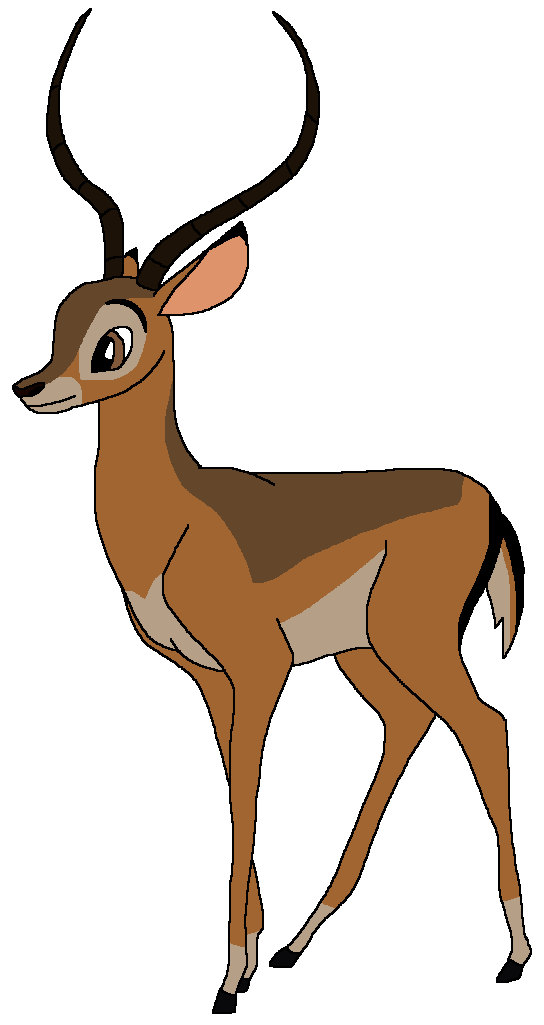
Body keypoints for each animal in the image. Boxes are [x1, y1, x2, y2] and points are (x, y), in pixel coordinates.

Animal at [15, 16, 530, 1012]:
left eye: (116, 339)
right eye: (62, 313)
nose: (33, 387)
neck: (176, 518)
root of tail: (480, 493)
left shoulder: (261, 671)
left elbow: (247, 796)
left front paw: (228, 971)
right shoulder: (213, 681)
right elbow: (231, 786)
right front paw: (251, 946)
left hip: (410, 637)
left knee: (481, 724)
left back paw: (520, 944)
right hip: (364, 652)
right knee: (407, 724)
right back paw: (307, 932)